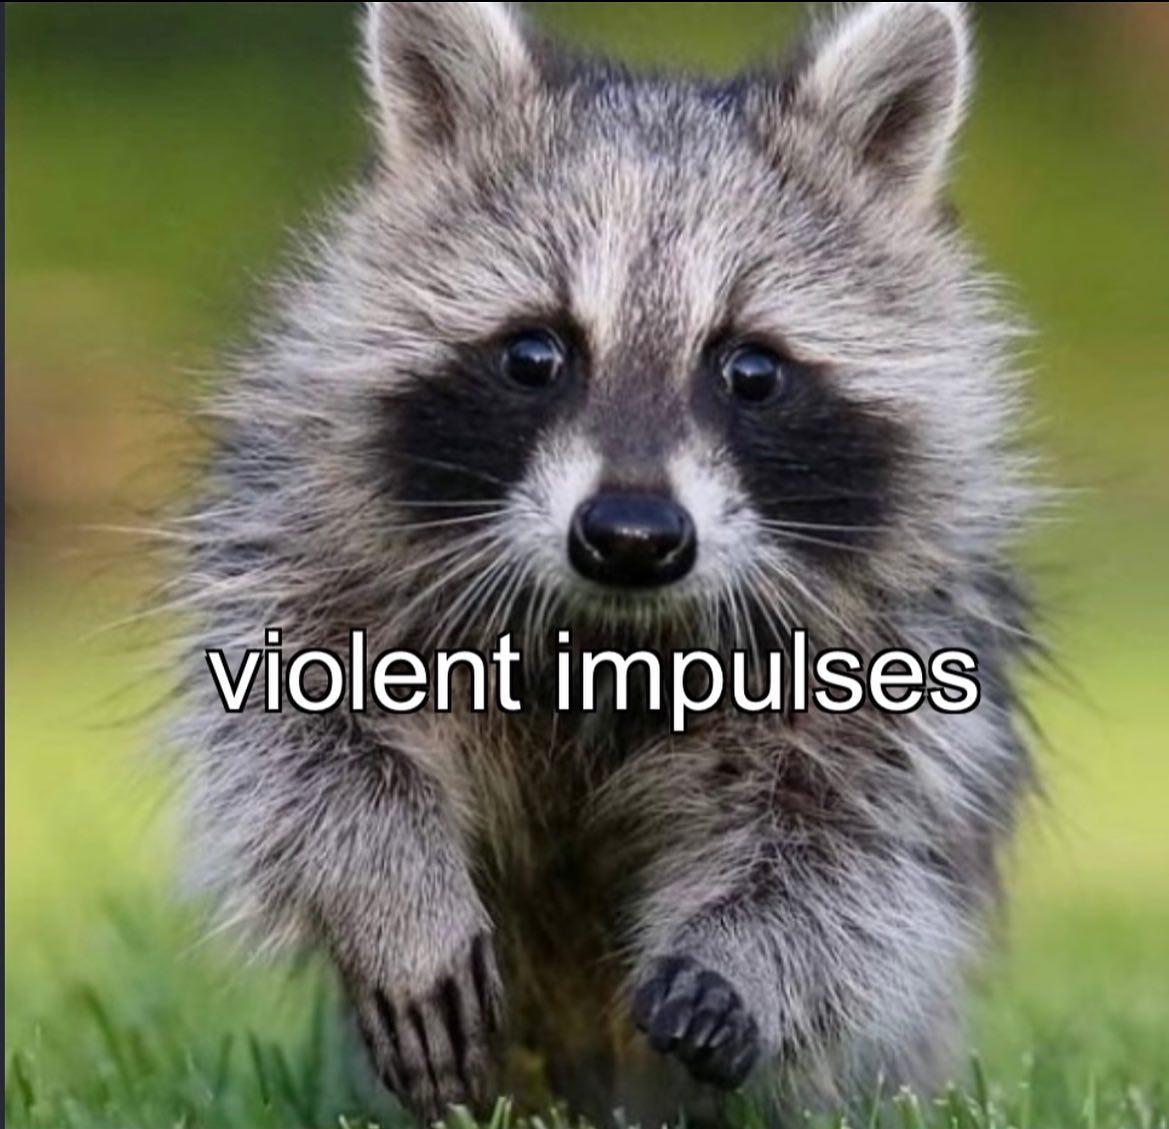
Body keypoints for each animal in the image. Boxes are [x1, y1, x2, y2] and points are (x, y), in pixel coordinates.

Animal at [176, 3, 1038, 1124]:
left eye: (750, 369)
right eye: (534, 354)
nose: (630, 535)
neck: (611, 630)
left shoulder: (901, 639)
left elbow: (846, 843)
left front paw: (745, 960)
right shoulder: (305, 538)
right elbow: (301, 749)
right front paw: (392, 897)